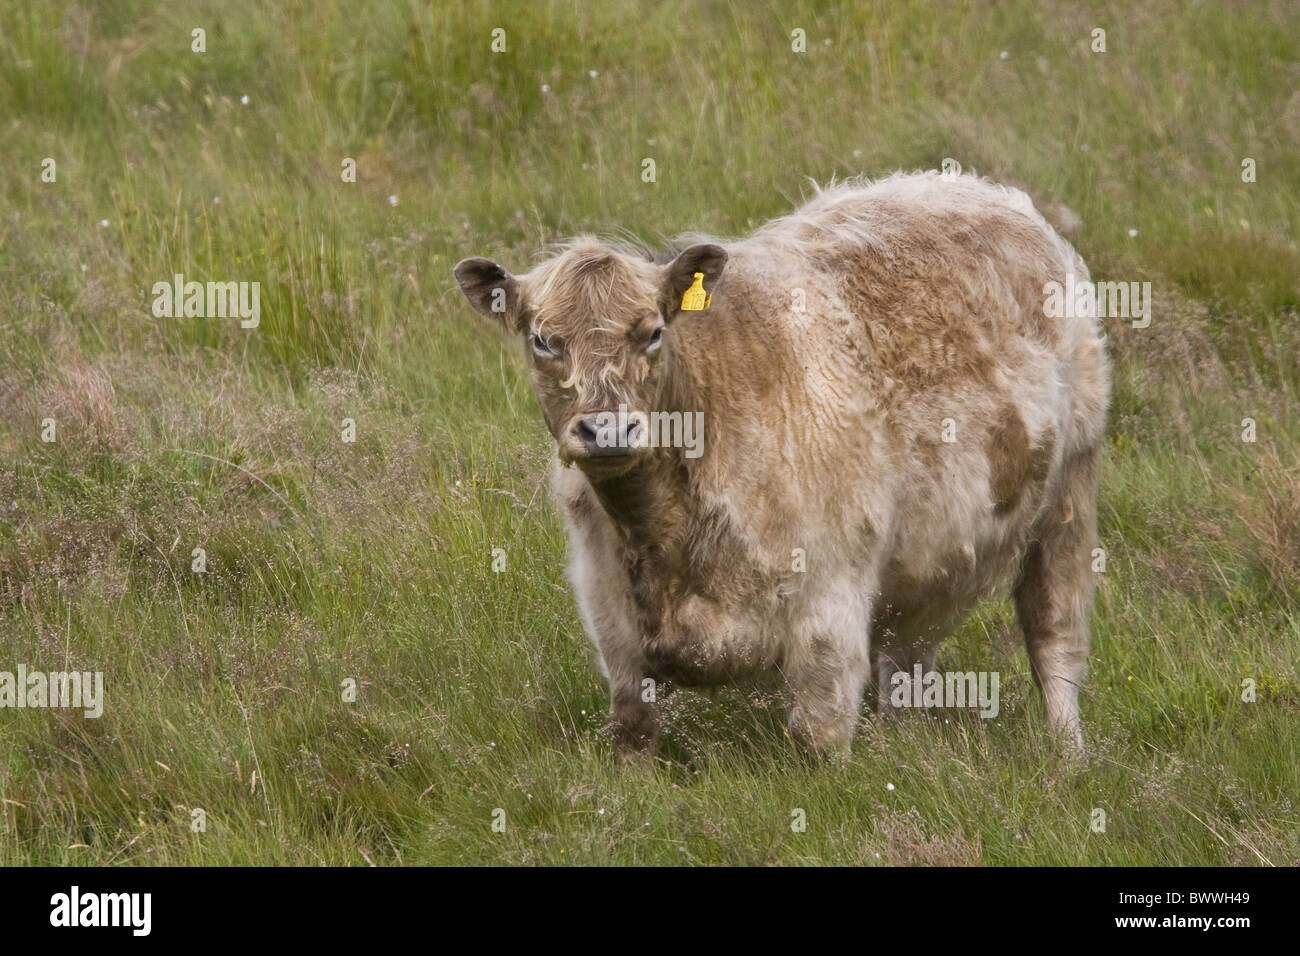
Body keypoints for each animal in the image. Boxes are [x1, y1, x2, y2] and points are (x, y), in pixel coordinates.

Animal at [454, 171, 1109, 760]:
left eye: (654, 332)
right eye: (543, 340)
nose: (608, 430)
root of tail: (979, 189)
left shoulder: (829, 608)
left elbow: (820, 741)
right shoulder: (612, 618)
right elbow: (632, 732)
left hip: (1069, 494)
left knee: (1055, 639)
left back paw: (1067, 758)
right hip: (927, 557)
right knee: (907, 658)